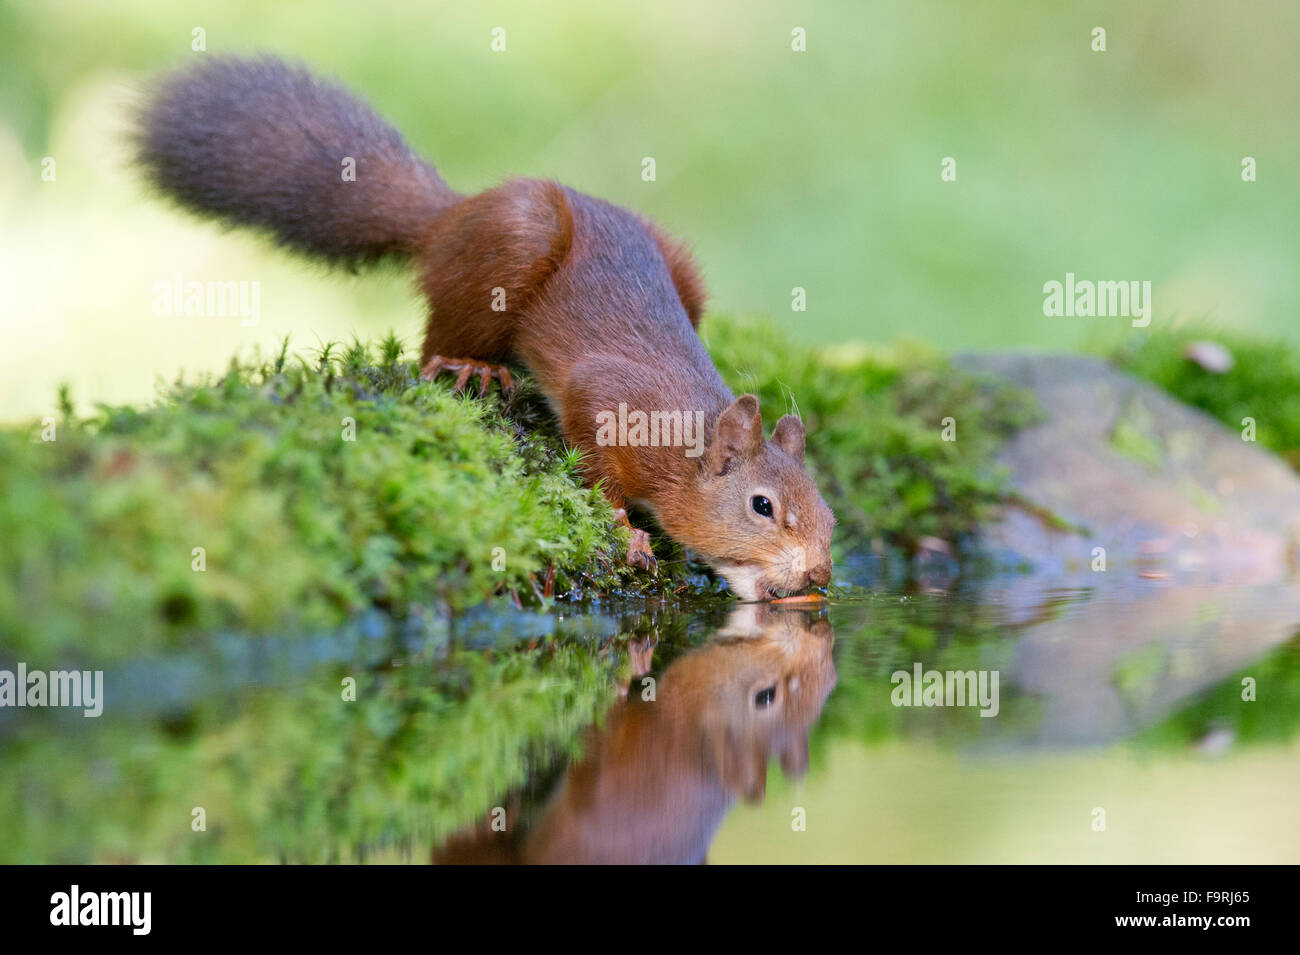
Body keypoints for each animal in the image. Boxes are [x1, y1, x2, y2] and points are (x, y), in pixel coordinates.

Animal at [134, 56, 835, 600]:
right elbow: (595, 458)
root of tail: (452, 217)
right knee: (438, 336)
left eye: (828, 513)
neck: (683, 435)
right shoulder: (610, 399)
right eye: (763, 506)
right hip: (515, 246)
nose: (820, 576)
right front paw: (626, 529)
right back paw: (469, 365)